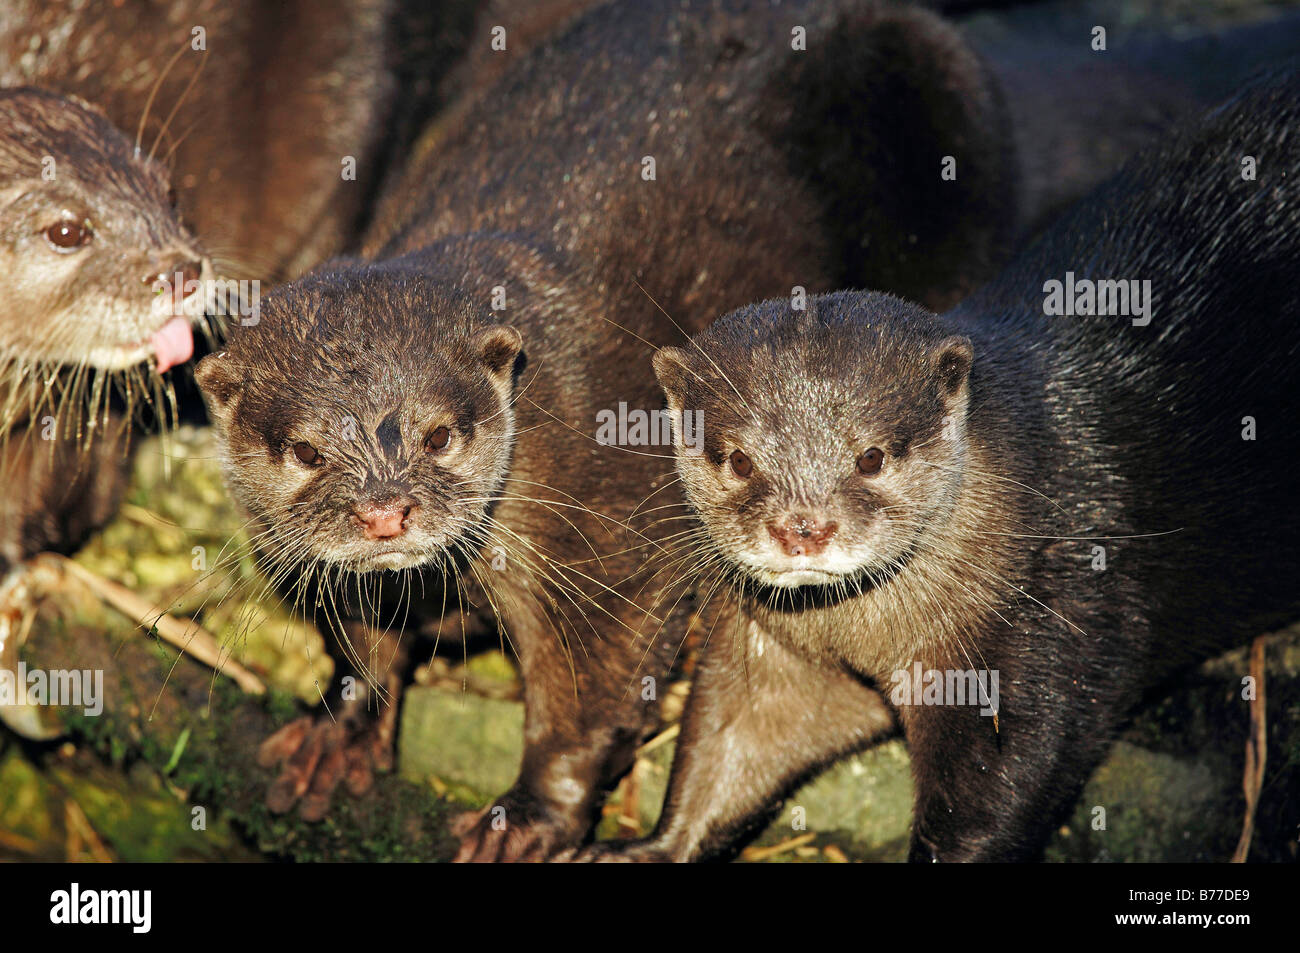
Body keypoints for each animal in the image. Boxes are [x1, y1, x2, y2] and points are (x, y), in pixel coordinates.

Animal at [199, 0, 1023, 859]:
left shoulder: (608, 526)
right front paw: (339, 732)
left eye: (438, 437)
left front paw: (525, 815)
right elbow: (360, 636)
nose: (384, 513)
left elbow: (593, 681)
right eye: (305, 450)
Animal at [563, 68, 1300, 861]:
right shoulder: (775, 650)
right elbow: (726, 748)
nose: (801, 529)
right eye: (736, 457)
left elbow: (1000, 789)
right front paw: (644, 846)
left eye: (871, 455)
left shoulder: (1047, 628)